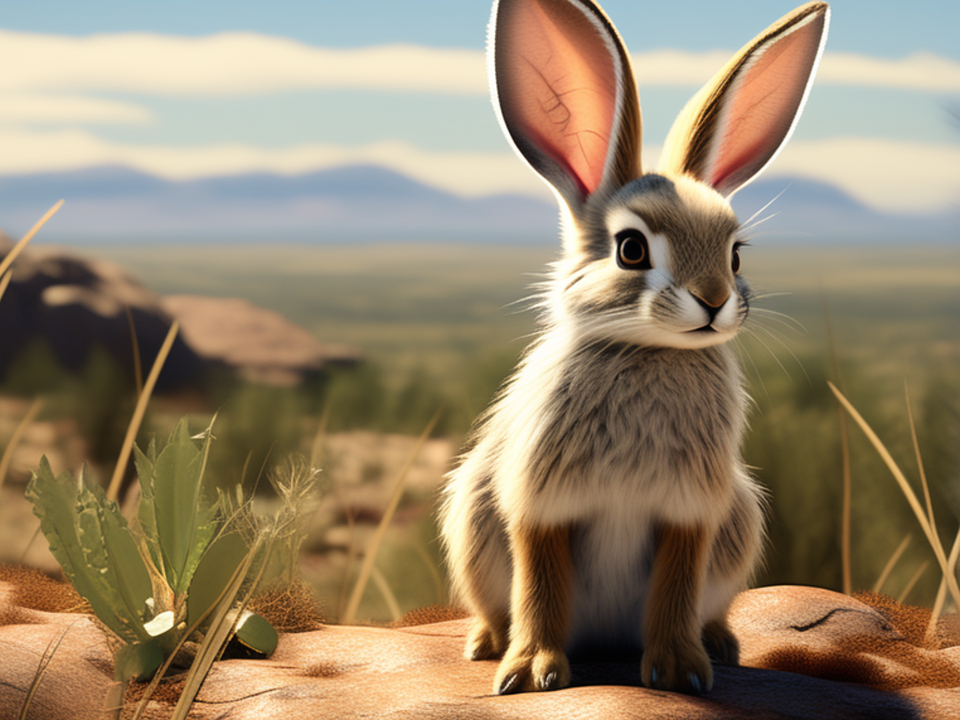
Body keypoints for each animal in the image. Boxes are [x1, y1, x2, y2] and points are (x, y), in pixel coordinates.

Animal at [439, 0, 829, 697]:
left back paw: (722, 644)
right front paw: (531, 673)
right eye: (631, 249)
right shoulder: (541, 502)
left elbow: (676, 588)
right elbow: (540, 586)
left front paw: (681, 672)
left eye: (735, 253)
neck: (652, 352)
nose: (714, 301)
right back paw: (486, 644)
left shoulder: (689, 514)